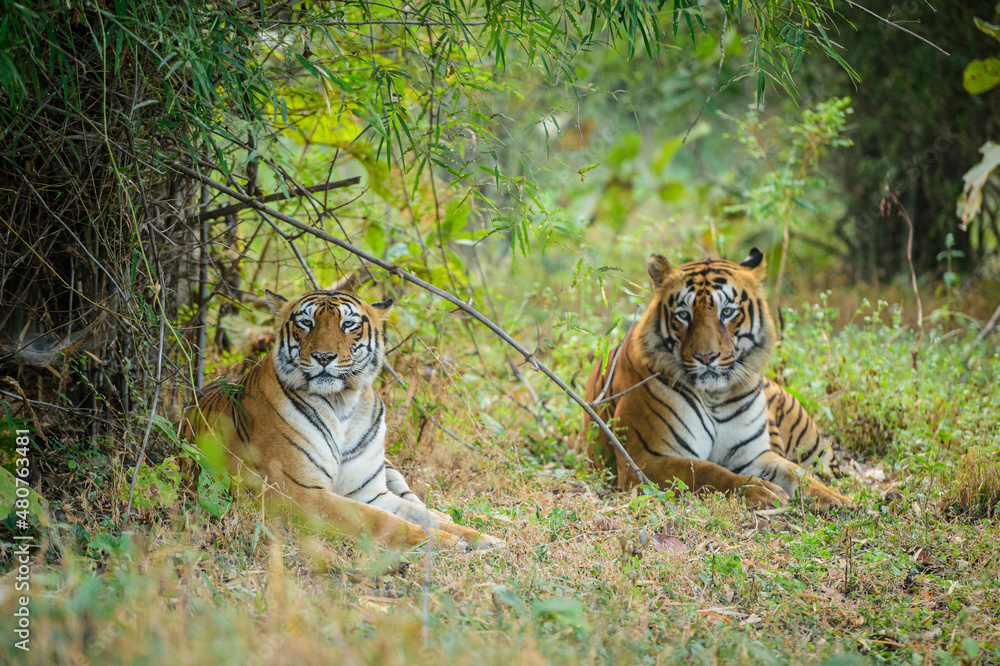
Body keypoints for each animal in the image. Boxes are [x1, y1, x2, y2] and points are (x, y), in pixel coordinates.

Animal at [193, 289, 502, 550]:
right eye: (306, 323)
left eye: (348, 325)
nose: (323, 356)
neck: (342, 405)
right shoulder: (298, 492)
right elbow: (379, 519)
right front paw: (441, 541)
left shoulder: (369, 492)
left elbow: (417, 514)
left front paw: (481, 538)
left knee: (419, 503)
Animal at [584, 249, 851, 509]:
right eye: (684, 315)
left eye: (728, 312)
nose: (706, 357)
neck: (716, 396)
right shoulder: (643, 459)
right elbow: (708, 471)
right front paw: (761, 491)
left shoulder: (754, 454)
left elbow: (794, 471)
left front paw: (835, 498)